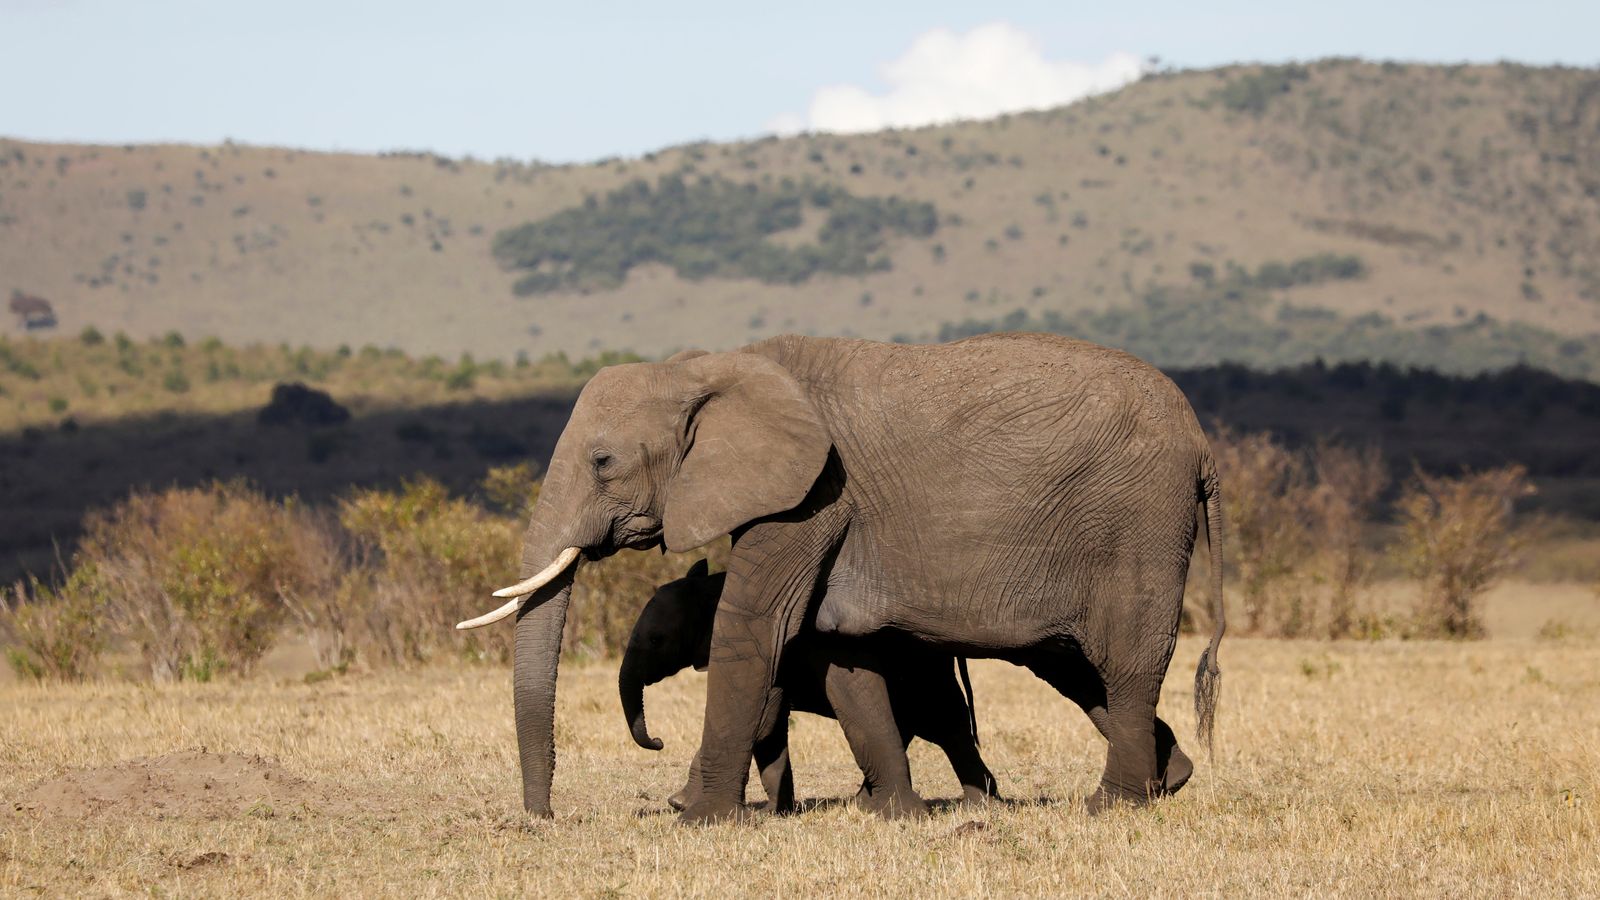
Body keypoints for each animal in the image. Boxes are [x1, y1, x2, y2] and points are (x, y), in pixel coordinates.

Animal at [620, 559, 999, 816]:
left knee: (939, 722)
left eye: (656, 639)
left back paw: (976, 802)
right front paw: (777, 811)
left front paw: (680, 803)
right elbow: (770, 723)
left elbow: (764, 719)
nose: (659, 742)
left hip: (922, 665)